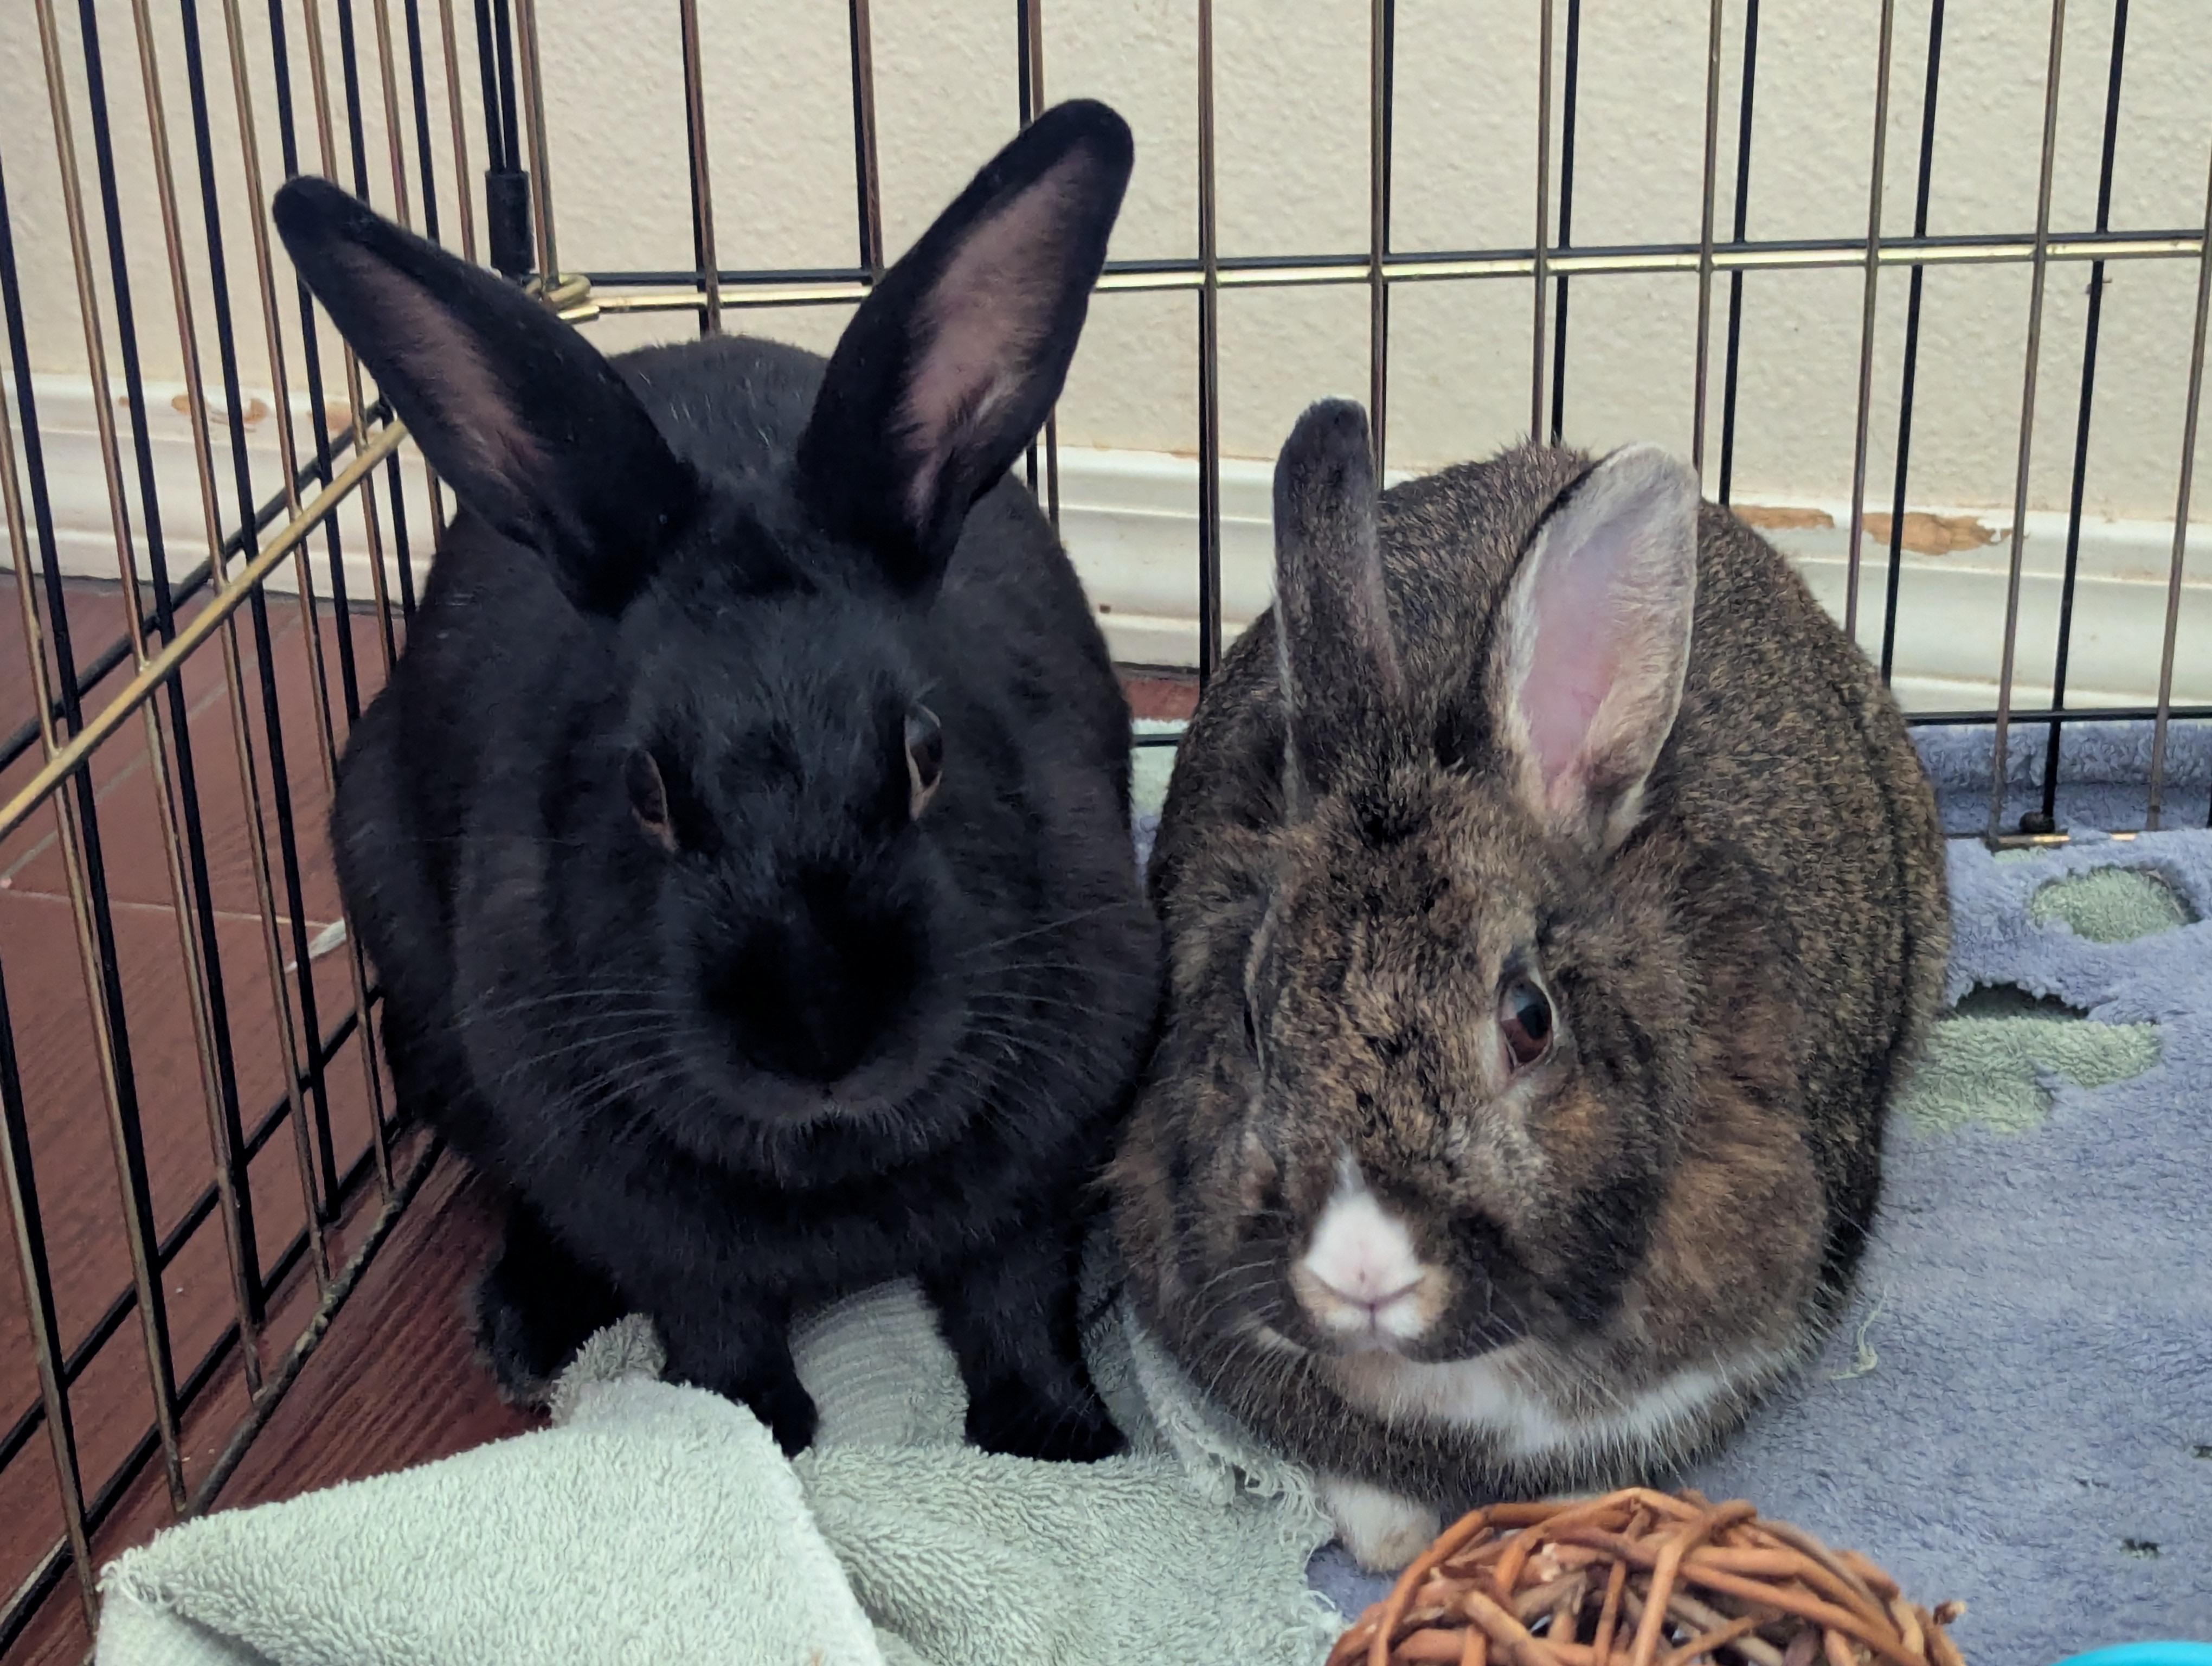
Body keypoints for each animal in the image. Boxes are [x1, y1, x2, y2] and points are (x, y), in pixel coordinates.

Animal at [273, 100, 1161, 1463]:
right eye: (646, 790)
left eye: (924, 752)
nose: (819, 1036)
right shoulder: (641, 1211)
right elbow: (715, 1337)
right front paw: (763, 1437)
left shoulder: (1044, 1168)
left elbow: (1014, 1304)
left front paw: (1063, 1444)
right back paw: (525, 1326)